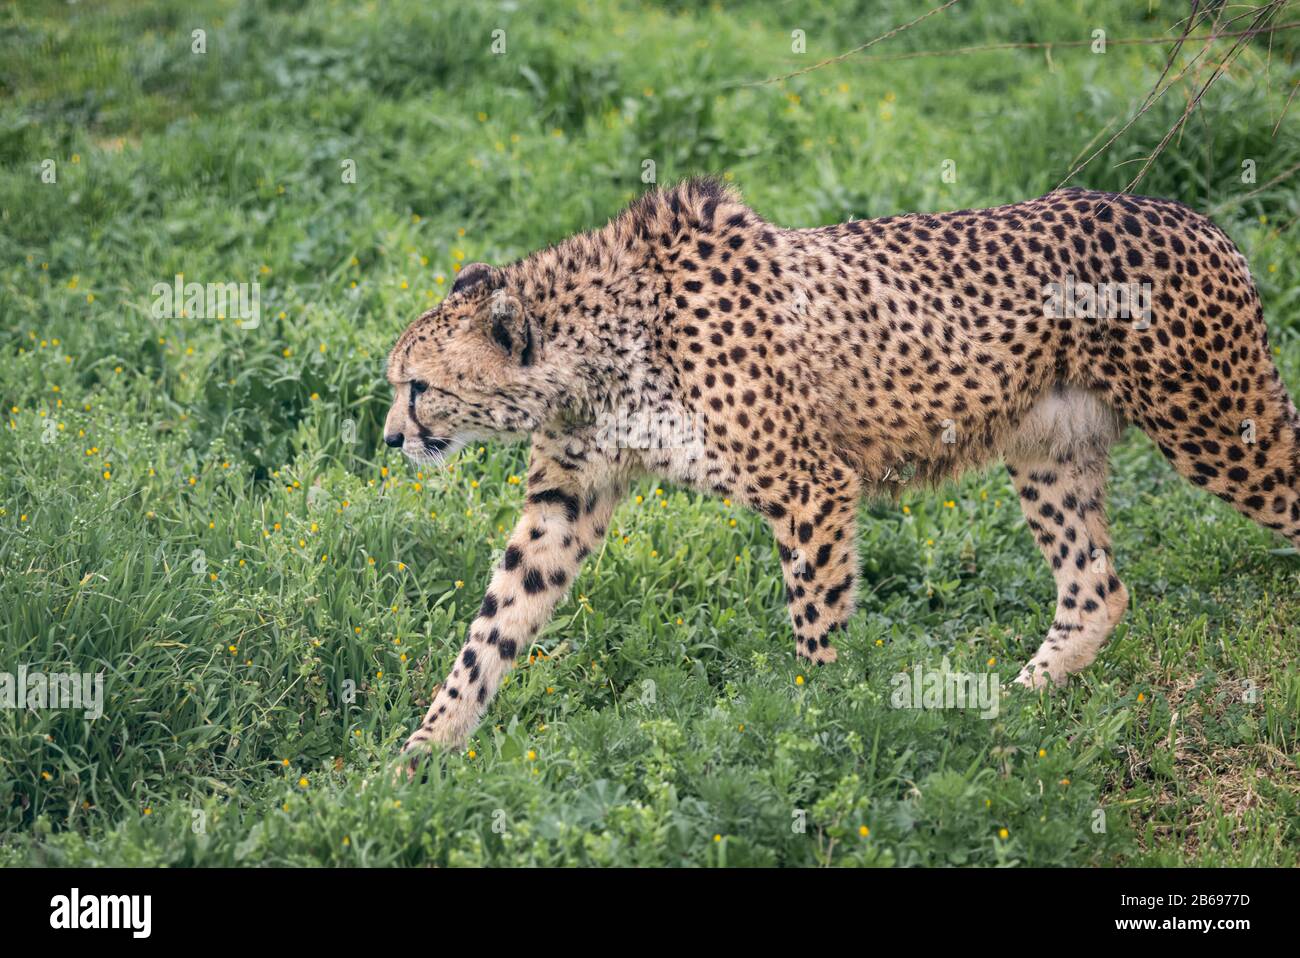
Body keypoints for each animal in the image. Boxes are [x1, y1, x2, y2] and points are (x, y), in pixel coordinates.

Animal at [383, 177, 1300, 765]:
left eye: (418, 386)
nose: (392, 439)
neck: (595, 347)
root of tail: (1195, 217)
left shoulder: (809, 485)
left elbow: (815, 622)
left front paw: (816, 723)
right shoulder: (565, 498)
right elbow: (495, 624)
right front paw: (423, 751)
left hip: (1219, 426)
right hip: (1050, 450)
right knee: (1095, 588)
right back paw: (1015, 702)